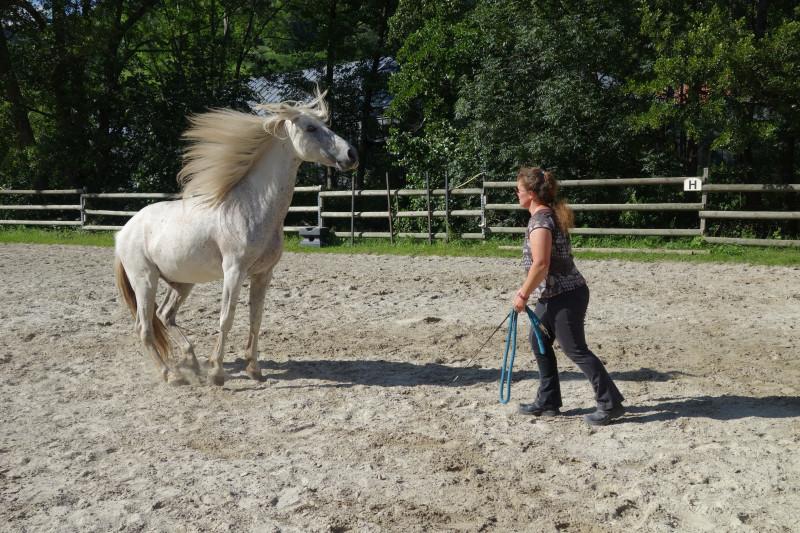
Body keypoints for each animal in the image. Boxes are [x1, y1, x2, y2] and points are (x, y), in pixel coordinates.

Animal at [114, 92, 357, 386]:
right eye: (310, 128)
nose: (352, 154)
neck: (250, 207)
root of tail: (123, 231)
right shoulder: (234, 271)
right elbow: (226, 318)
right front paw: (217, 372)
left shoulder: (263, 274)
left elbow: (256, 318)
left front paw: (254, 369)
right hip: (144, 280)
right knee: (144, 327)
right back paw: (171, 374)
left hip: (182, 283)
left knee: (165, 315)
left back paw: (191, 361)